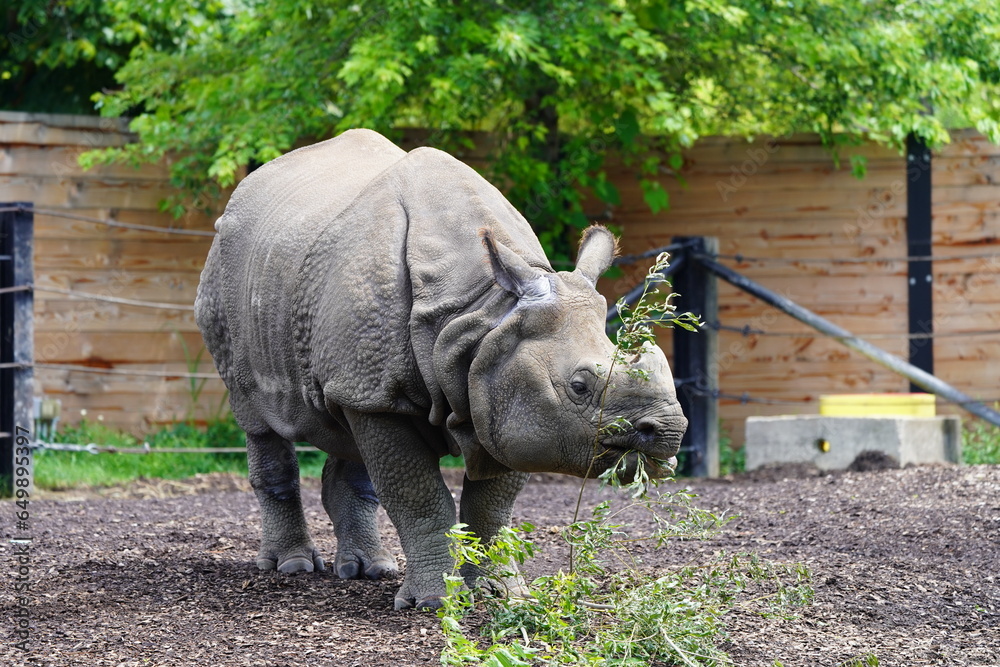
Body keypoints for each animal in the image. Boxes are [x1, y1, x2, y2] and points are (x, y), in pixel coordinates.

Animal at [195, 129, 687, 610]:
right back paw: (293, 566)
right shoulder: (404, 394)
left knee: (344, 421)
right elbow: (418, 496)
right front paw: (433, 602)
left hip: (335, 339)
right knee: (259, 419)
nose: (669, 431)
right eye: (580, 386)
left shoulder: (503, 389)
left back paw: (370, 569)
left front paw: (500, 593)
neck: (480, 312)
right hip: (230, 277)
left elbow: (491, 507)